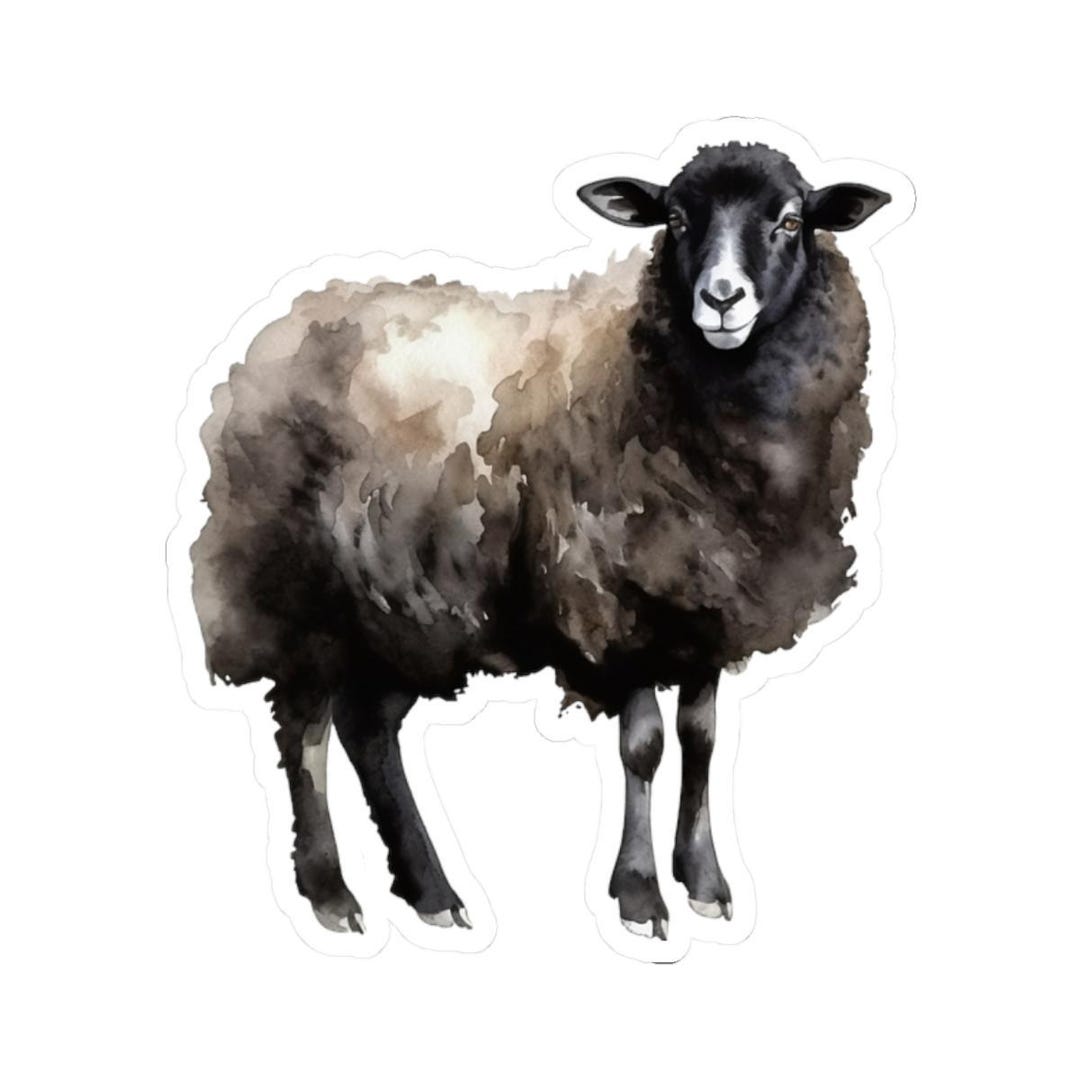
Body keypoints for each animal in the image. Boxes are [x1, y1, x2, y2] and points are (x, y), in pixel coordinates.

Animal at [191, 141, 891, 940]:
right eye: (677, 218)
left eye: (791, 220)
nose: (721, 298)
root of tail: (275, 333)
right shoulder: (613, 603)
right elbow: (645, 748)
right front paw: (640, 895)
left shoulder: (705, 609)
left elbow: (702, 741)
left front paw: (706, 882)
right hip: (296, 593)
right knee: (303, 732)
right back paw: (331, 892)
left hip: (402, 612)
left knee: (365, 727)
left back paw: (431, 892)